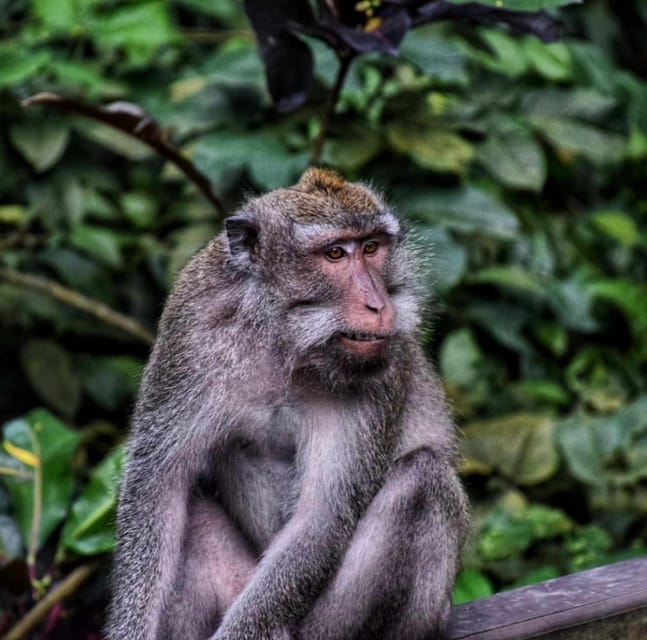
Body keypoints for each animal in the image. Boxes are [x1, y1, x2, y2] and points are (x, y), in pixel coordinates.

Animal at [106, 168, 469, 640]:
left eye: (371, 248)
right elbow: (159, 482)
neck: (284, 338)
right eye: (335, 254)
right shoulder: (192, 328)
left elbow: (323, 515)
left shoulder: (380, 371)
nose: (378, 304)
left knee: (424, 479)